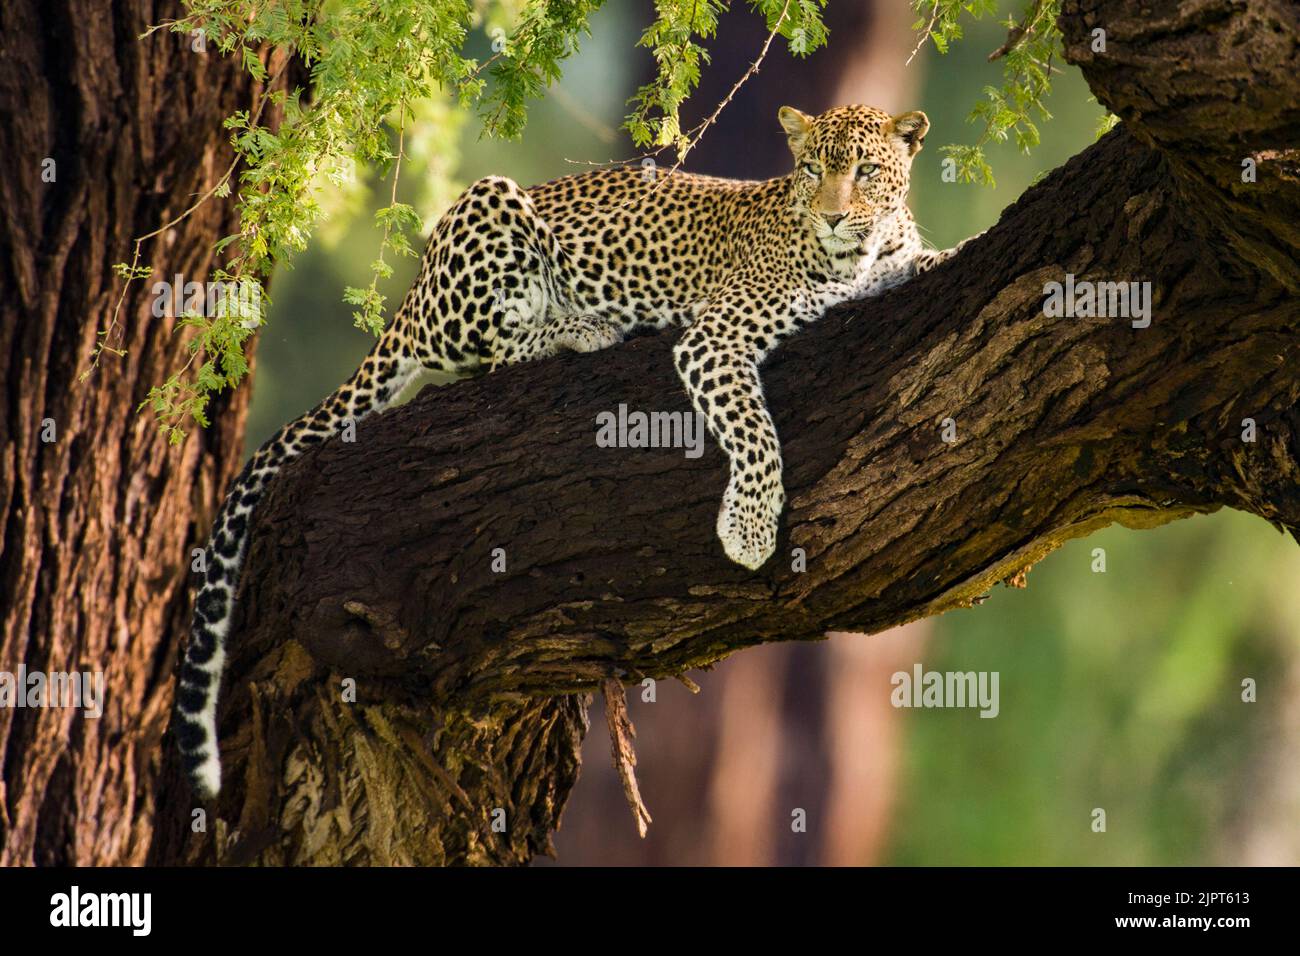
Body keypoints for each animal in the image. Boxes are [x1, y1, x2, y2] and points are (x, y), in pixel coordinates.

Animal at [175, 103, 973, 799]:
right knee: (501, 347)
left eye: (866, 171)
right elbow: (754, 428)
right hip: (490, 211)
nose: (835, 214)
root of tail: (411, 295)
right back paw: (581, 326)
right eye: (812, 170)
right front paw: (749, 528)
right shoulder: (715, 336)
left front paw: (956, 252)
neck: (861, 256)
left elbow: (923, 260)